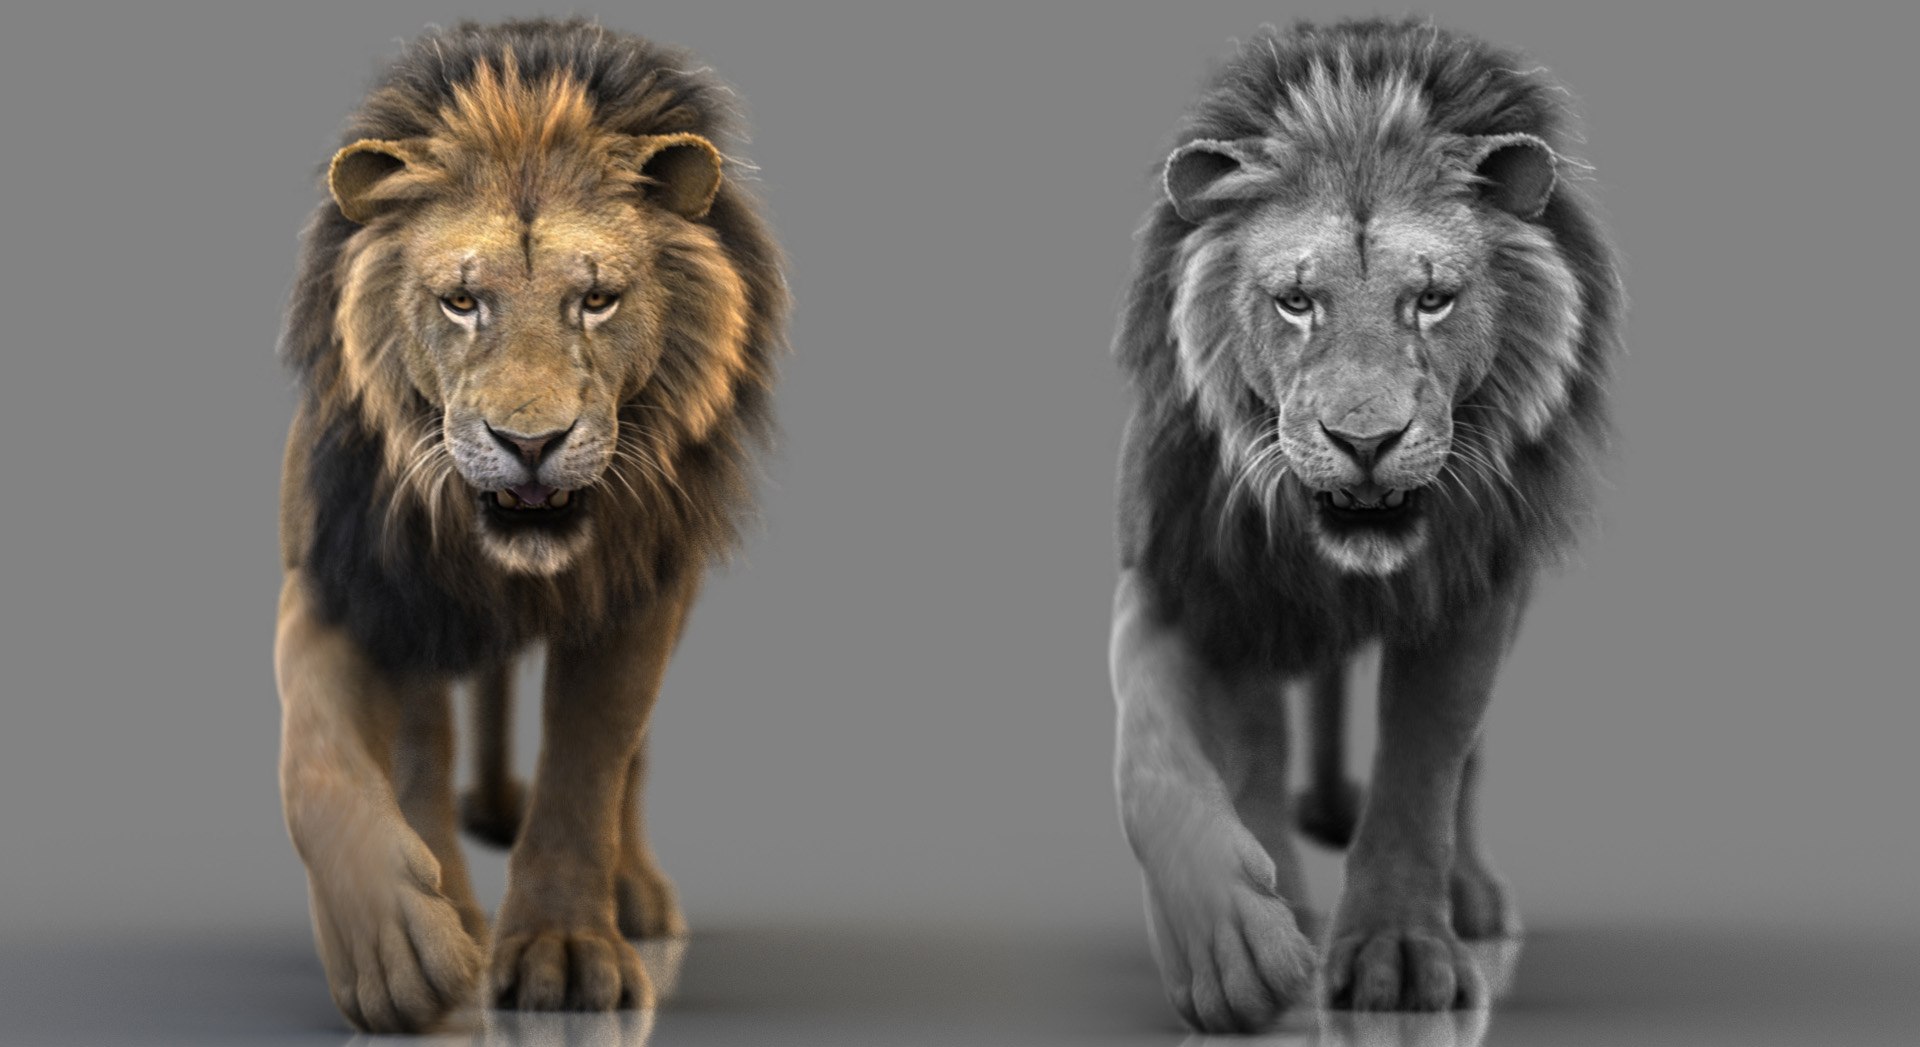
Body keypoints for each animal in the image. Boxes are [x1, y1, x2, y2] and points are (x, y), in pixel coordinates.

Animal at [274, 19, 785, 1032]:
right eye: (461, 301)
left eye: (597, 299)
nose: (531, 443)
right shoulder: (346, 569)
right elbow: (331, 755)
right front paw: (396, 943)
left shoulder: (640, 582)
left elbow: (591, 757)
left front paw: (563, 949)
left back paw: (630, 892)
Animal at [1108, 19, 1621, 1030]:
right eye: (1295, 301)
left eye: (1433, 299)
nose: (1366, 442)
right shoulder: (1183, 561)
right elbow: (1158, 751)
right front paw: (1231, 941)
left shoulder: (1473, 580)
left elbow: (1425, 759)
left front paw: (1398, 951)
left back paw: (1467, 894)